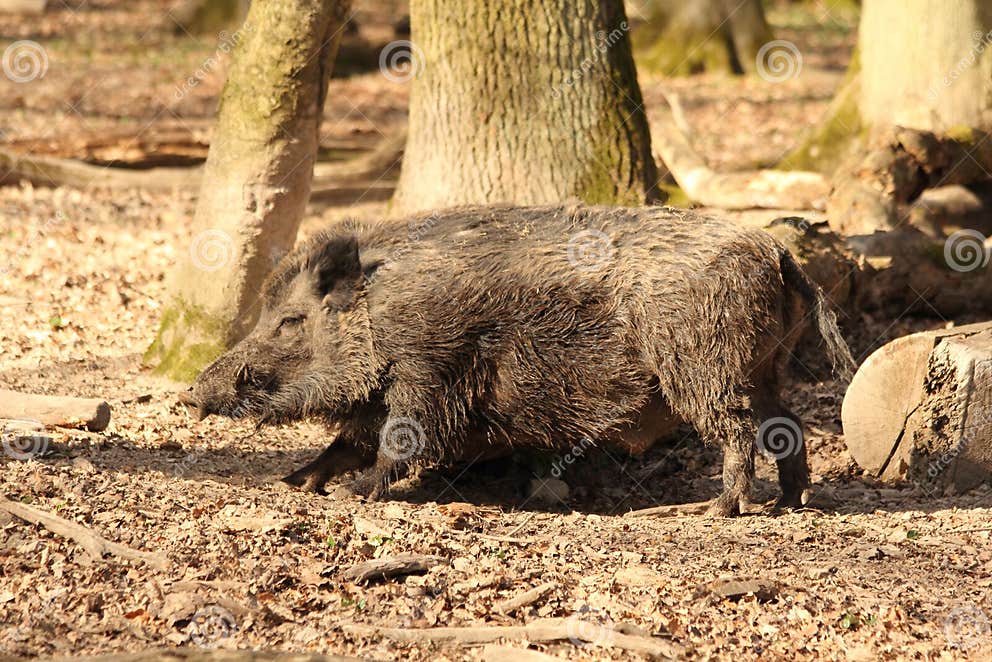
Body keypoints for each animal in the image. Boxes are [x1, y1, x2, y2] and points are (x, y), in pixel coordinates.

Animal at [181, 204, 856, 516]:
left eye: (291, 321)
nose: (190, 391)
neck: (381, 313)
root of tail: (773, 249)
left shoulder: (428, 369)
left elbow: (402, 439)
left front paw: (355, 493)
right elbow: (345, 439)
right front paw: (293, 482)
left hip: (704, 363)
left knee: (741, 429)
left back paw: (713, 509)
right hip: (765, 364)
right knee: (788, 424)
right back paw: (792, 502)